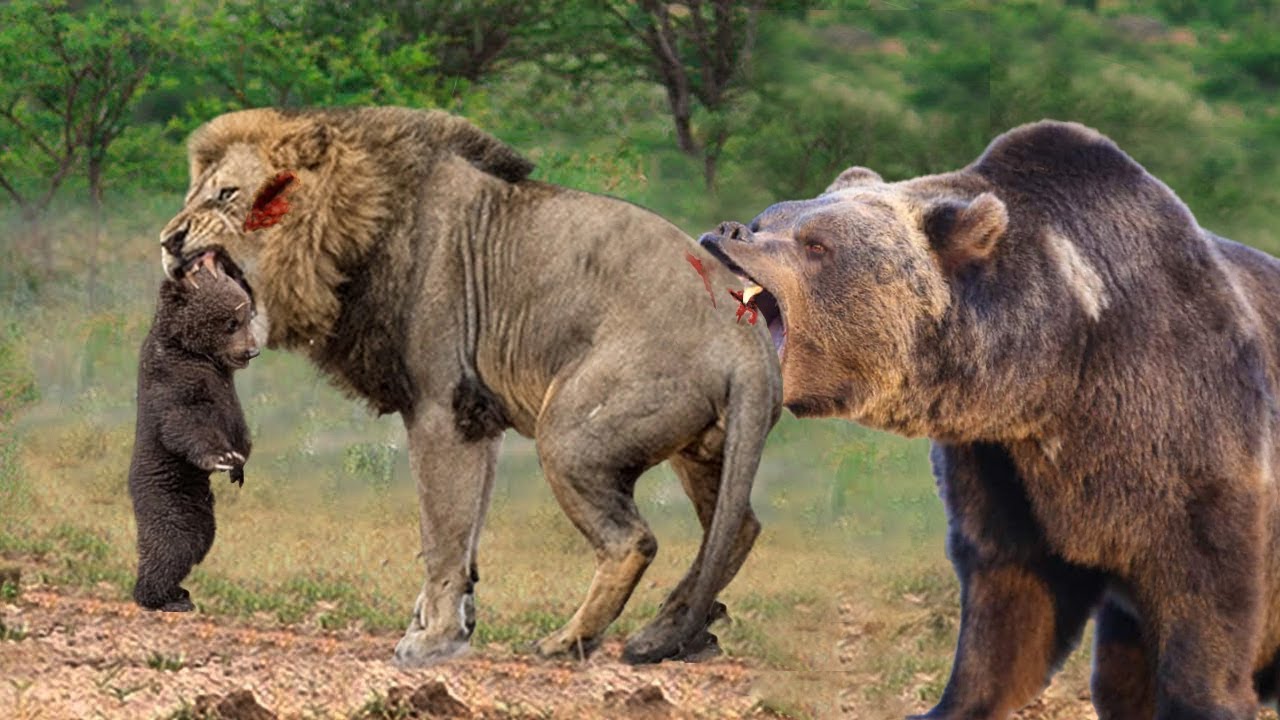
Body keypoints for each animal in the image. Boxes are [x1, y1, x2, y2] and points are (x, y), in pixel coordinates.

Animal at [129, 250, 257, 612]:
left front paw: (239, 465)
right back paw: (158, 597)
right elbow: (185, 423)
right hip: (167, 495)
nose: (252, 350)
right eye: (231, 322)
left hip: (198, 503)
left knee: (200, 538)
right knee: (174, 542)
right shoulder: (175, 380)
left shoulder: (227, 389)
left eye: (248, 316)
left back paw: (179, 592)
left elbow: (238, 426)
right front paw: (224, 457)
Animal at [157, 106, 781, 665]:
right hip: (700, 450)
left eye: (226, 194)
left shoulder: (441, 410)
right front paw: (451, 624)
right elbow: (467, 531)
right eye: (195, 193)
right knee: (736, 529)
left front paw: (430, 641)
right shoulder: (477, 418)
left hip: (572, 434)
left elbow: (443, 534)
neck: (351, 232)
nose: (168, 240)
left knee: (634, 541)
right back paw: (668, 634)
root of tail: (745, 340)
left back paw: (570, 641)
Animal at [699, 120, 1280, 719]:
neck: (1058, 374)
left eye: (816, 244)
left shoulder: (1184, 420)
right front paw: (952, 702)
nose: (728, 230)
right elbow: (1008, 595)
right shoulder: (1003, 465)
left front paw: (1209, 700)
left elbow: (1206, 579)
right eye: (768, 220)